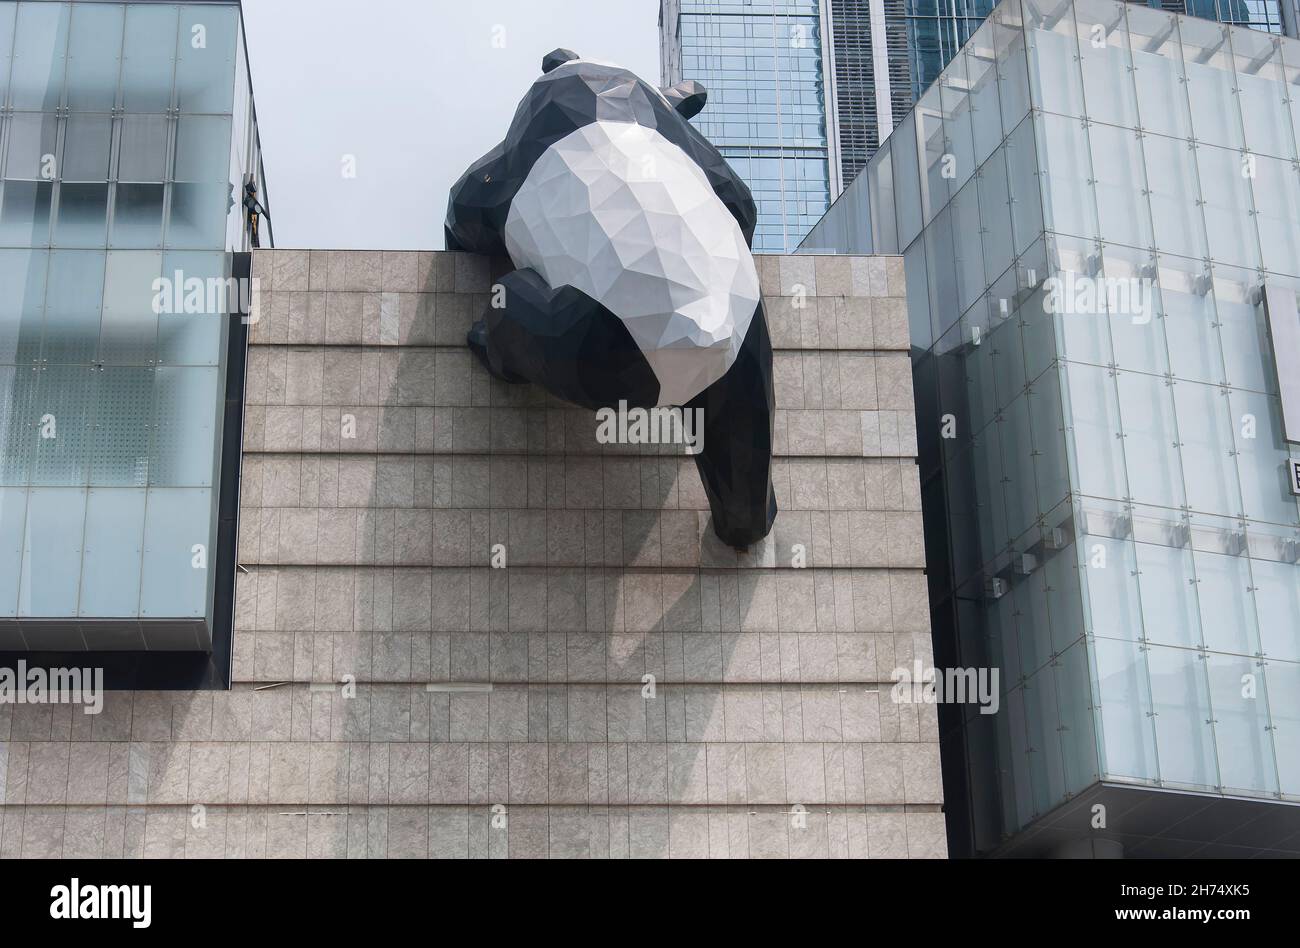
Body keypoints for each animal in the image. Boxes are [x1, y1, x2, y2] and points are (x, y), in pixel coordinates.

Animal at [445, 48, 776, 549]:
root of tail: (703, 320)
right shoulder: (688, 140)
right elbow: (738, 196)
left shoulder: (538, 123)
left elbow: (476, 197)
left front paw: (455, 234)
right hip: (743, 344)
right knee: (742, 436)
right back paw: (748, 526)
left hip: (601, 334)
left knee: (526, 320)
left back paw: (485, 339)